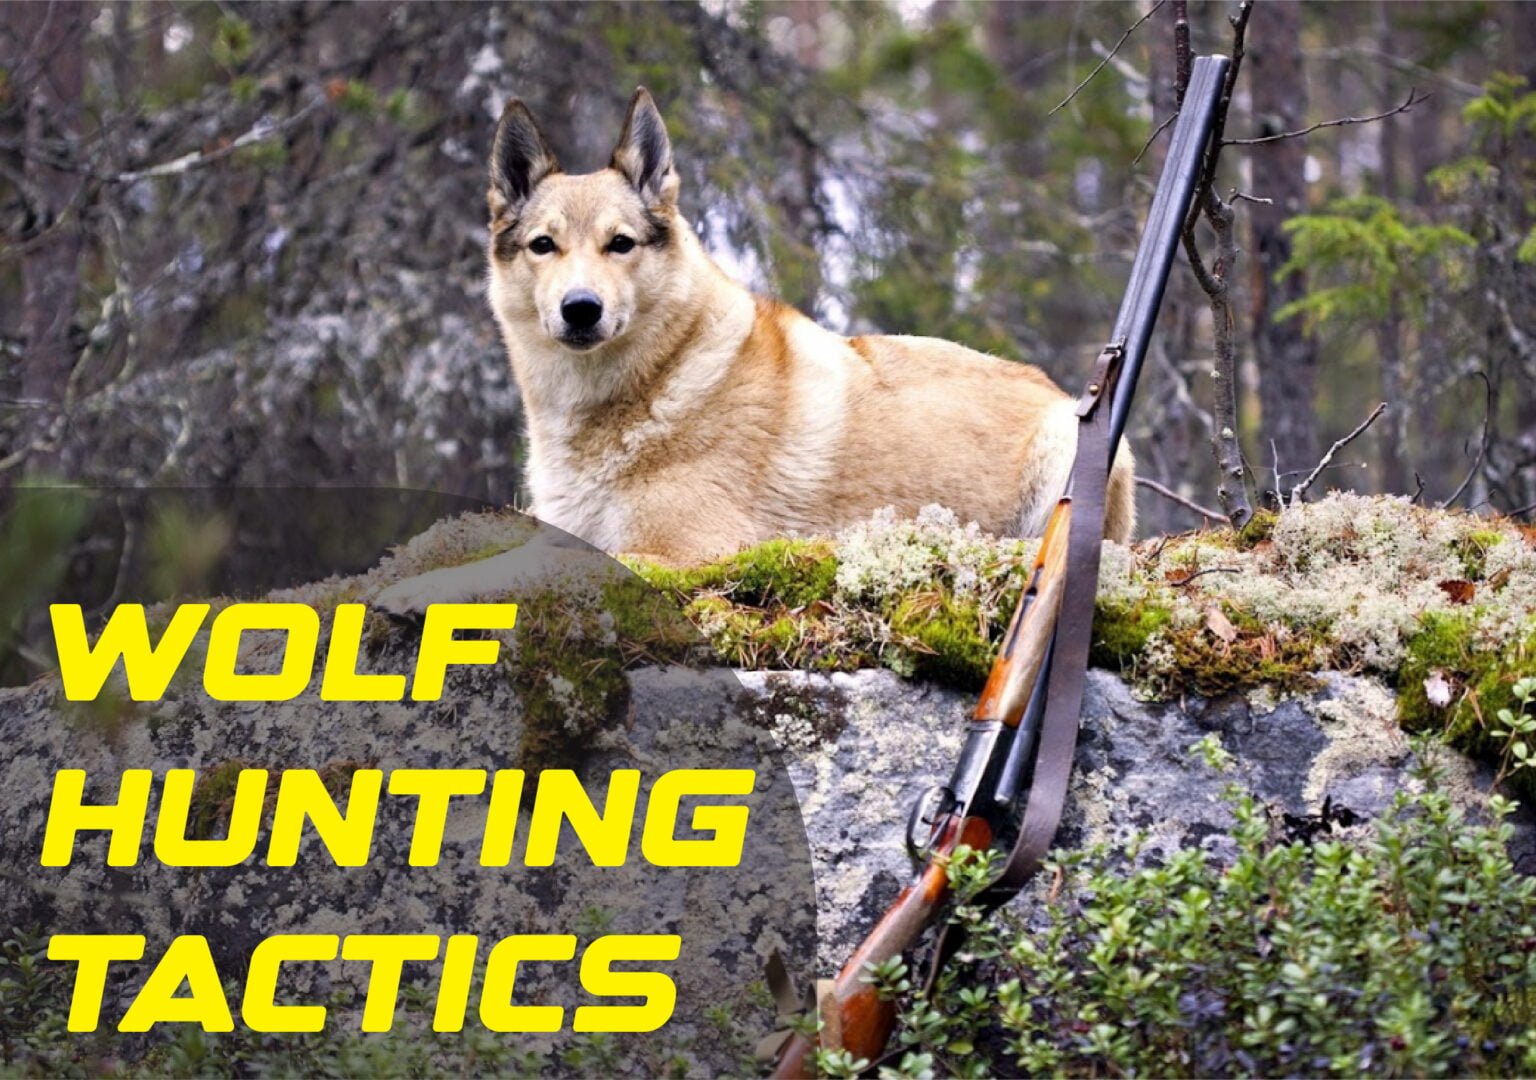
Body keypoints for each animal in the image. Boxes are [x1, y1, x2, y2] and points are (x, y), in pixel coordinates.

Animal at [485, 88, 1134, 566]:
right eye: (544, 245)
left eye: (620, 244)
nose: (581, 307)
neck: (659, 379)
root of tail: (1055, 389)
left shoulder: (684, 550)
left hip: (1065, 449)